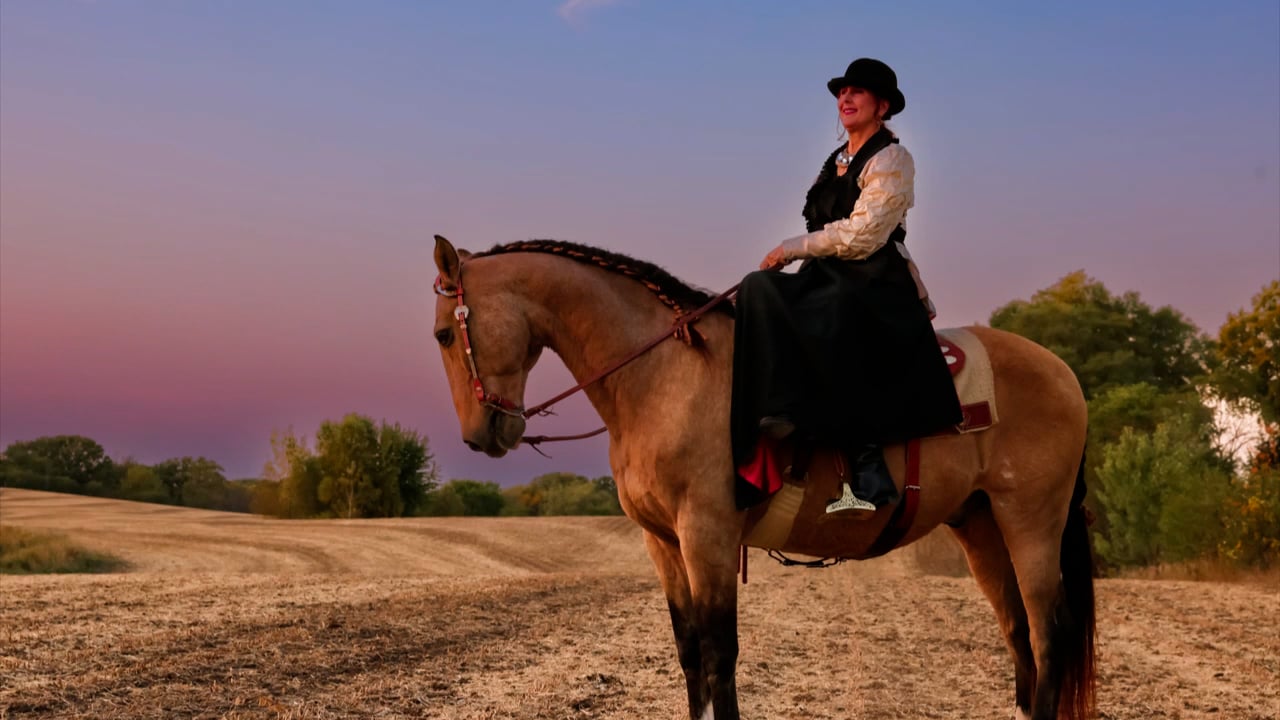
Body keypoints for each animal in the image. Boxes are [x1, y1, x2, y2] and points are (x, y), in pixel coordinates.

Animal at [428, 235, 1096, 720]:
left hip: (1030, 522)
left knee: (1047, 634)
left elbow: (719, 654)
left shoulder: (708, 536)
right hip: (981, 526)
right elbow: (689, 652)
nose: (480, 436)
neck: (663, 374)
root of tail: (1062, 370)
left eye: (442, 334)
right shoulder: (663, 543)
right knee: (1018, 633)